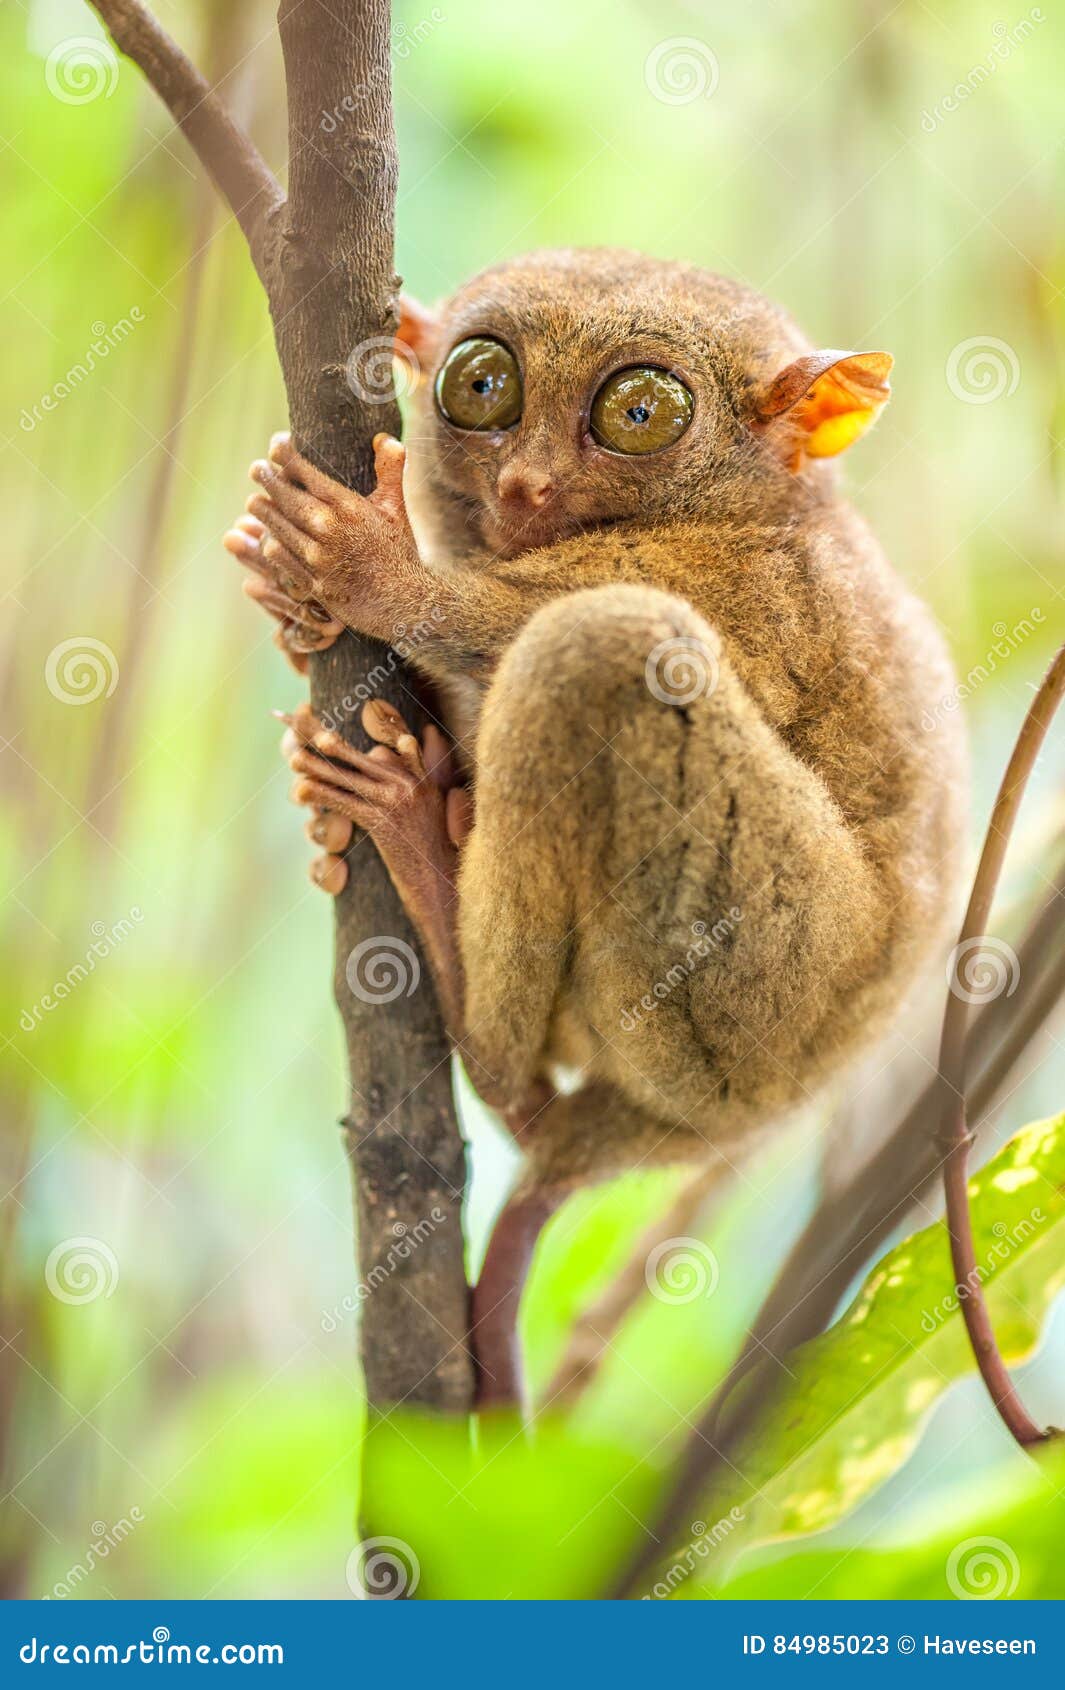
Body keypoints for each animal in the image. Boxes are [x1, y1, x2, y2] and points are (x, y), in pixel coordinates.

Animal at [223, 248, 967, 1410]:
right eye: (483, 387)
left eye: (638, 413)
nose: (525, 486)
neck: (762, 509)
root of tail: (687, 1132)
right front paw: (287, 605)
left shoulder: (745, 586)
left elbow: (508, 622)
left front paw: (366, 569)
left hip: (744, 993)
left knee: (599, 649)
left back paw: (451, 942)